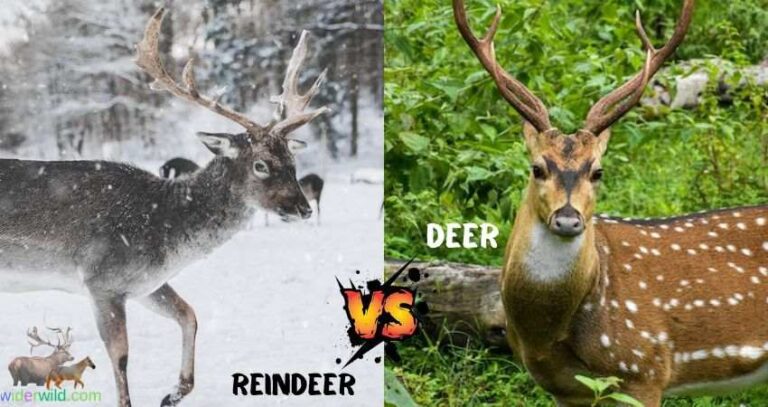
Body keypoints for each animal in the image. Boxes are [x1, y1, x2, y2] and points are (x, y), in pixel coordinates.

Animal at [0, 8, 328, 407]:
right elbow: (121, 356)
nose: (303, 208)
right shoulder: (102, 280)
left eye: (292, 162)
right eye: (261, 165)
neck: (162, 227)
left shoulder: (144, 283)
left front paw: (172, 393)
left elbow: (190, 315)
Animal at [454, 0, 768, 404]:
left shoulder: (645, 369)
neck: (546, 332)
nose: (568, 219)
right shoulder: (563, 389)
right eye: (537, 168)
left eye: (597, 171)